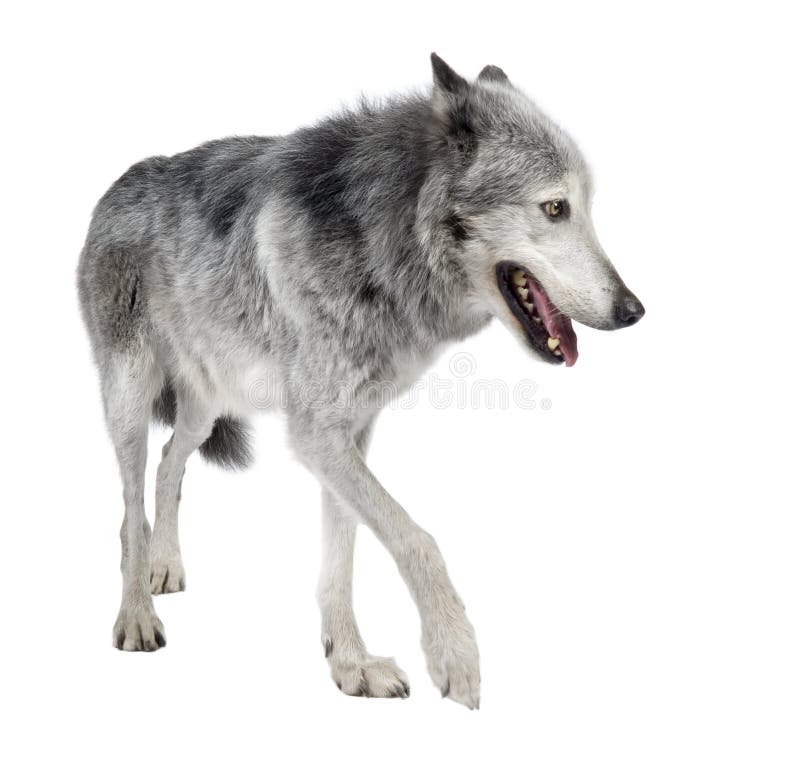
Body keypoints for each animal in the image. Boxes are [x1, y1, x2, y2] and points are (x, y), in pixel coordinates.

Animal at [77, 53, 644, 709]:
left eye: (588, 206)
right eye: (555, 208)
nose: (633, 310)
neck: (378, 242)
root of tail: (115, 186)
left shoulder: (352, 431)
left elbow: (342, 556)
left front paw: (348, 662)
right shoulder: (317, 434)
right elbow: (418, 539)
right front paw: (455, 655)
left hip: (205, 407)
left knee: (169, 463)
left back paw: (163, 566)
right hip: (130, 398)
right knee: (129, 501)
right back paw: (136, 615)